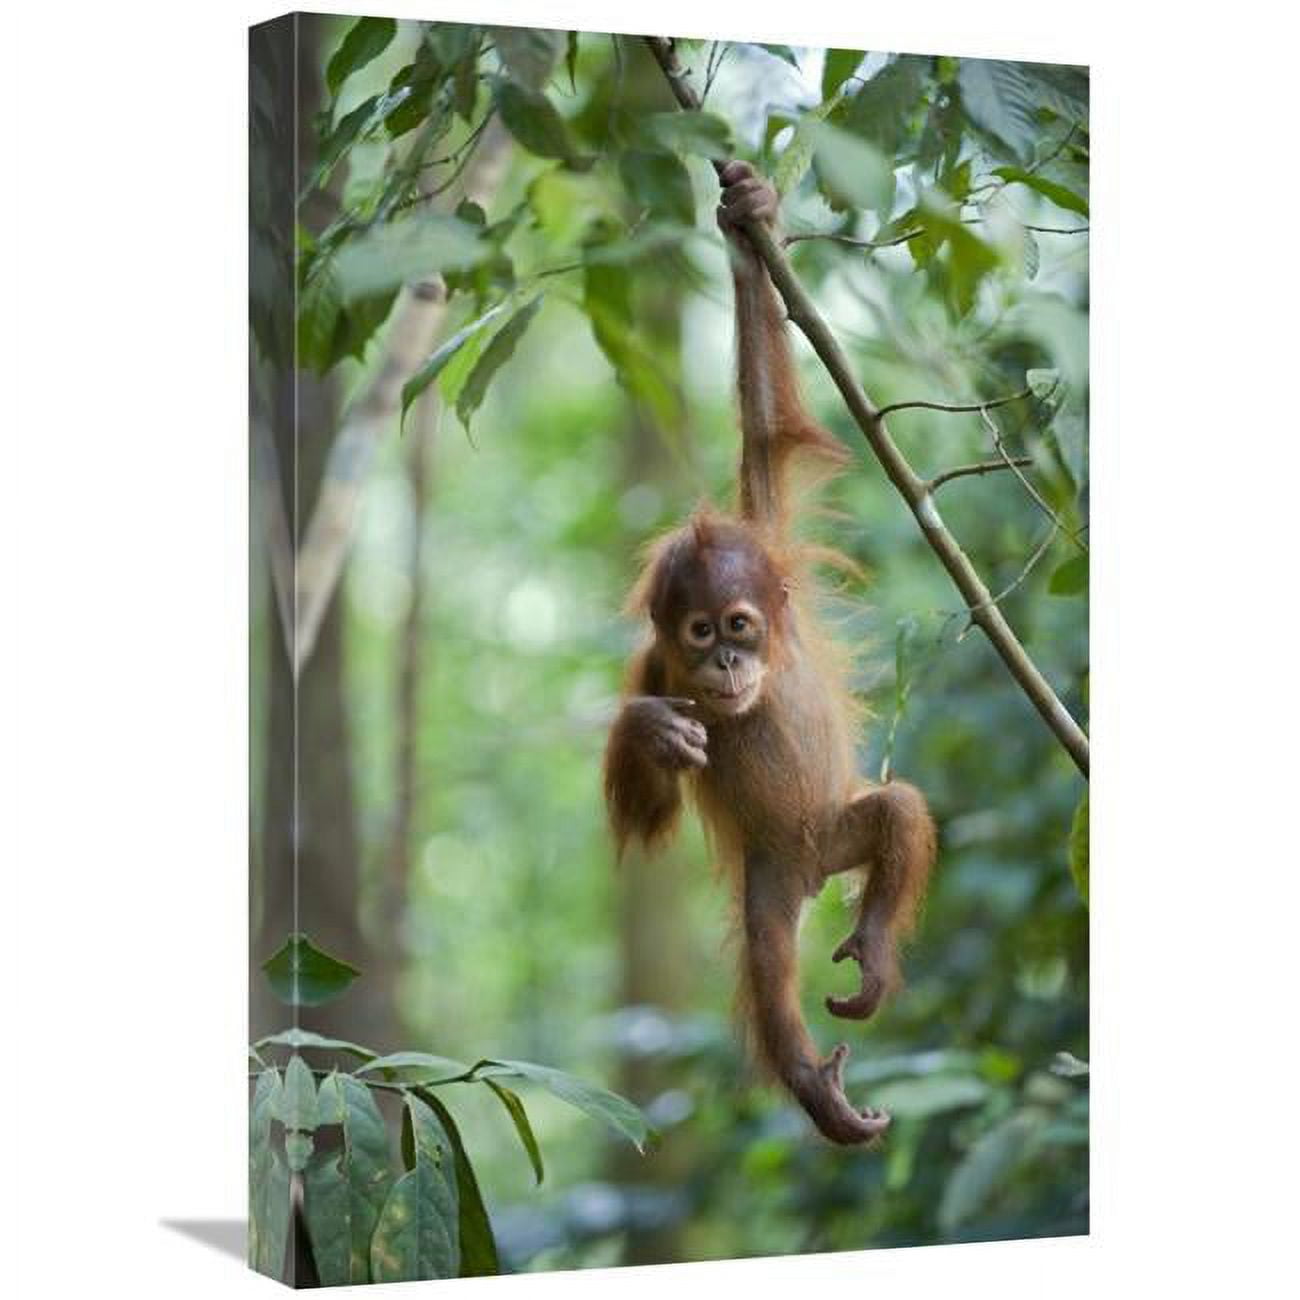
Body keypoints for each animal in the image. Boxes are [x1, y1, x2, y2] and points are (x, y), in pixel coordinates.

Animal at [603, 160, 936, 1146]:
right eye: (699, 633)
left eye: (741, 625)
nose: (723, 667)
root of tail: (813, 864)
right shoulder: (654, 667)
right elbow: (646, 817)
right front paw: (651, 733)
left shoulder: (771, 533)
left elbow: (764, 426)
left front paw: (749, 217)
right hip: (771, 875)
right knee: (764, 957)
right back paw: (813, 1083)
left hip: (834, 827)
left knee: (898, 811)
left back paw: (870, 956)